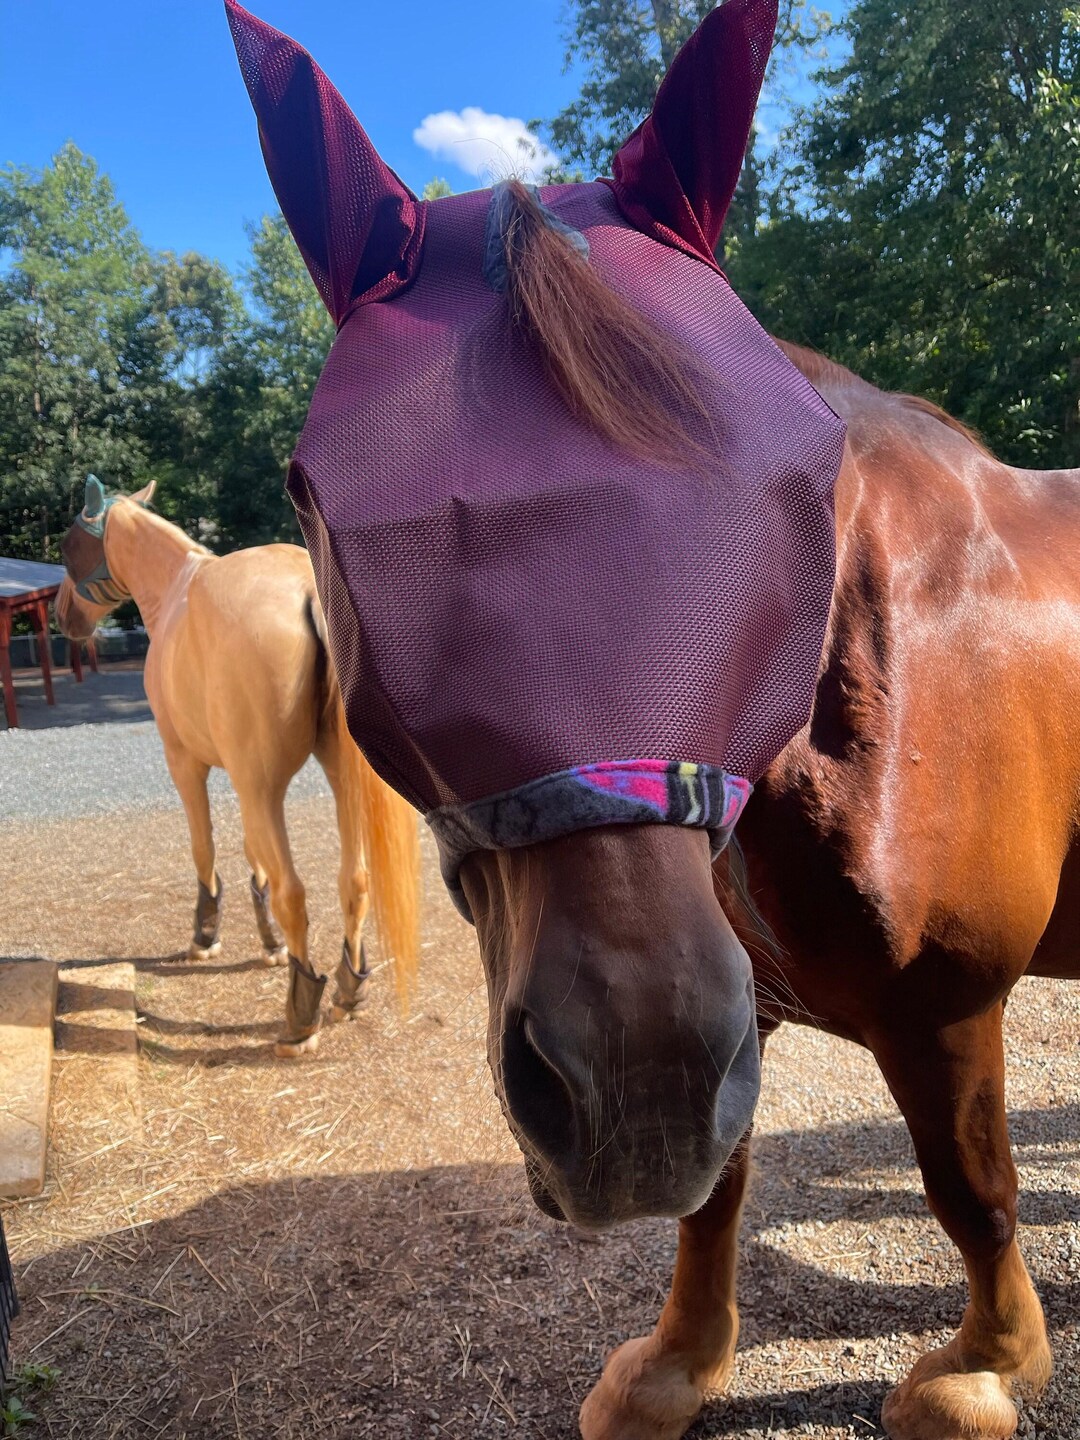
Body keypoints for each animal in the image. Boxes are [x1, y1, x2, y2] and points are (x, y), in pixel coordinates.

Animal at [54, 478, 419, 1058]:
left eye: (70, 546)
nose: (61, 615)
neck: (174, 591)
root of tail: (309, 589)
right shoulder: (242, 778)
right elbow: (255, 856)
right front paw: (269, 943)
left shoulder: (187, 763)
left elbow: (205, 847)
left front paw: (205, 934)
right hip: (331, 783)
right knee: (354, 881)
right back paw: (347, 990)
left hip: (261, 788)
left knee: (295, 891)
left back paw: (300, 1019)